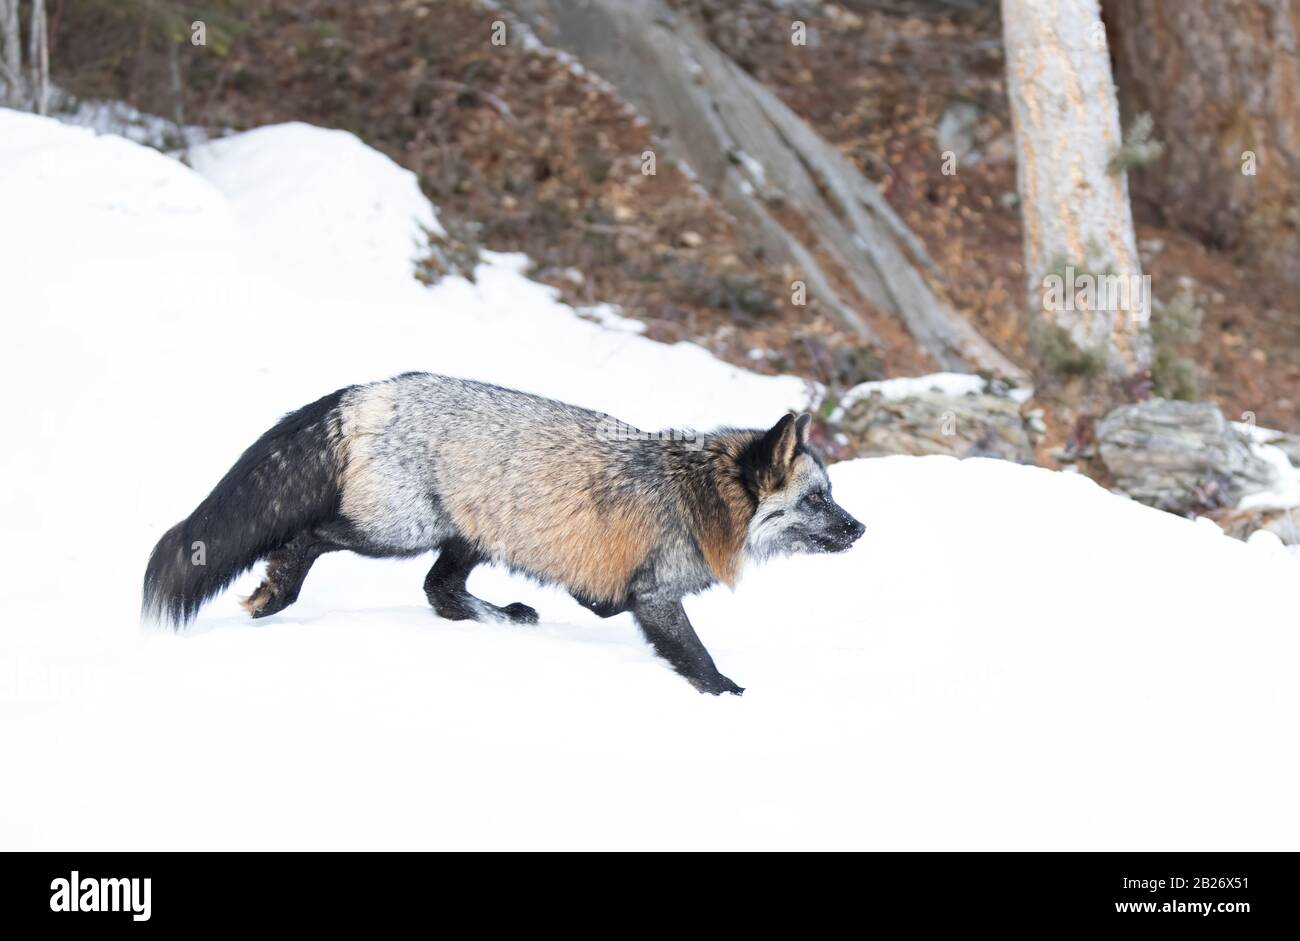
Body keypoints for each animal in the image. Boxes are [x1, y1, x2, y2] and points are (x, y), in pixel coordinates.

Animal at [142, 373, 864, 694]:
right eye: (819, 499)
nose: (862, 527)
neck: (694, 499)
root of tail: (373, 386)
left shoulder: (623, 585)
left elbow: (599, 602)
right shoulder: (657, 595)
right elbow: (695, 655)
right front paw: (729, 696)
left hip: (469, 536)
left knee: (439, 591)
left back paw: (506, 618)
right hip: (398, 529)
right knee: (310, 538)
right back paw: (276, 592)